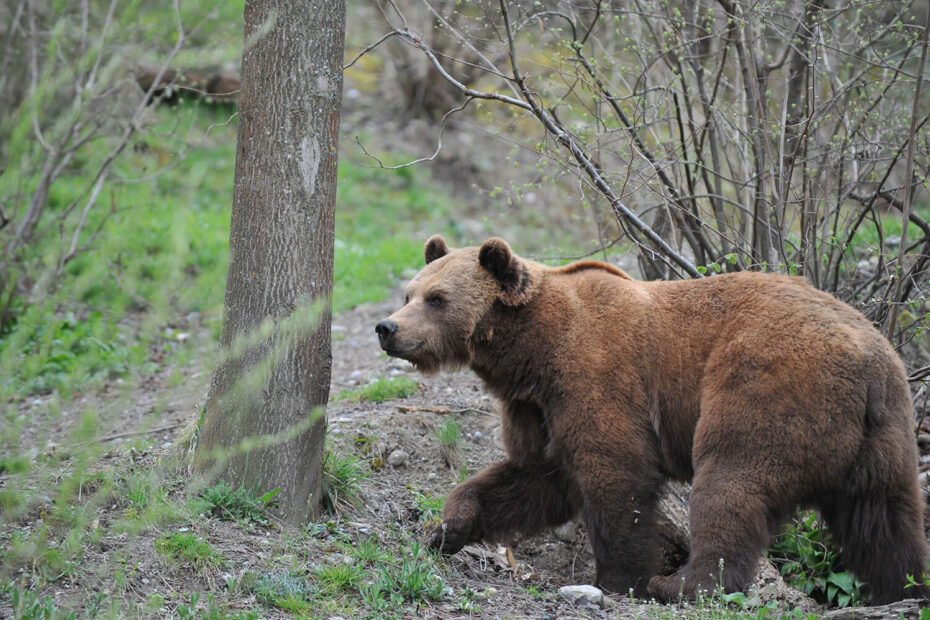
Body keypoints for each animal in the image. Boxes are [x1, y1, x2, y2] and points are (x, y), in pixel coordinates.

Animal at [375, 235, 929, 604]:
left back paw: (682, 582)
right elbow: (534, 476)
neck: (531, 352)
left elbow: (614, 472)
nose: (387, 328)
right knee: (884, 518)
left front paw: (619, 580)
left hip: (767, 384)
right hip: (885, 434)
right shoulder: (535, 407)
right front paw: (449, 526)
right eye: (409, 293)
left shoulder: (597, 374)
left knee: (731, 483)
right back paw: (901, 587)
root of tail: (868, 356)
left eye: (437, 299)